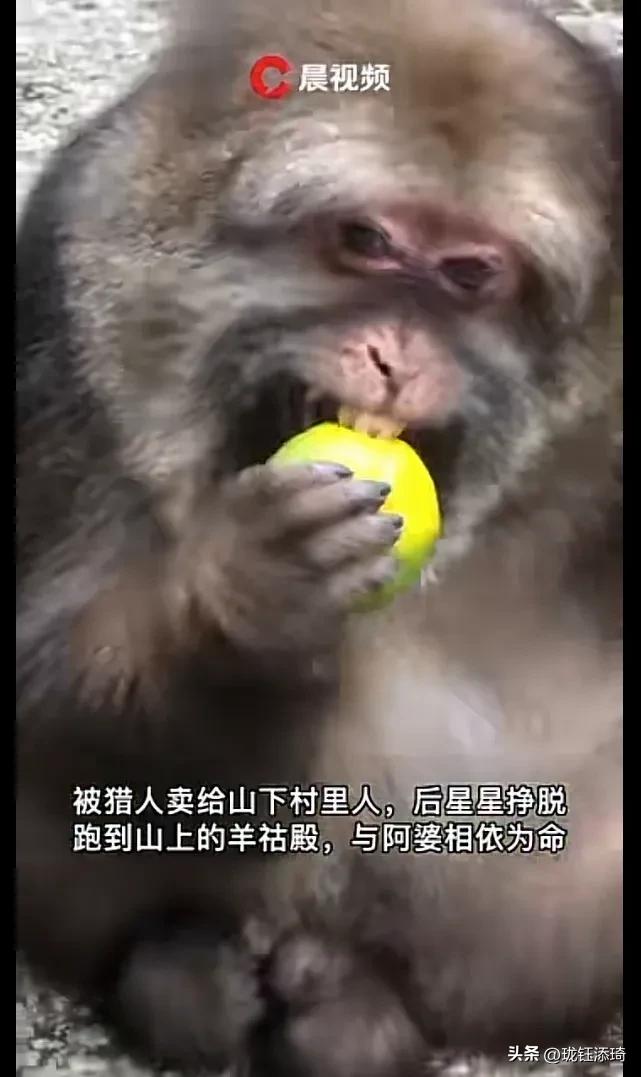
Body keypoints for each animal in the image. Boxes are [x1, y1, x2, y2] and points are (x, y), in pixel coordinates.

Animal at [16, 1, 622, 1074]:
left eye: (469, 273)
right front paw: (248, 602)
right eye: (365, 239)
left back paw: (363, 1012)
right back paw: (177, 974)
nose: (394, 356)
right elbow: (36, 677)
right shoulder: (72, 318)